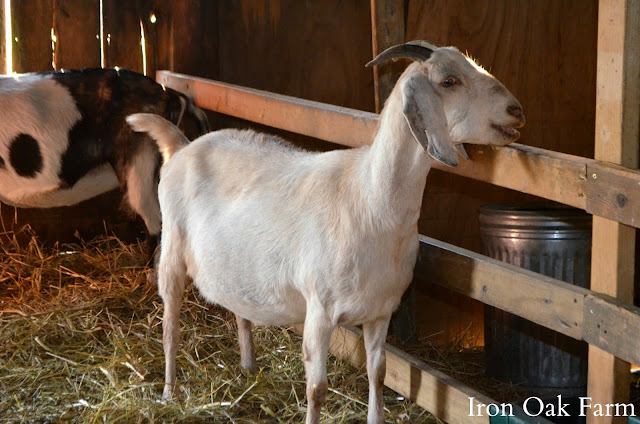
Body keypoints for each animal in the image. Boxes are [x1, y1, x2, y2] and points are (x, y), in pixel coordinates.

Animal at [127, 41, 525, 424]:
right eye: (449, 80)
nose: (516, 110)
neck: (370, 199)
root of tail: (182, 146)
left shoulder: (381, 310)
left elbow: (378, 373)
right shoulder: (319, 309)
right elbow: (317, 388)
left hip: (235, 266)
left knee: (239, 310)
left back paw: (248, 368)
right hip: (172, 254)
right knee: (170, 328)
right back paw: (168, 393)